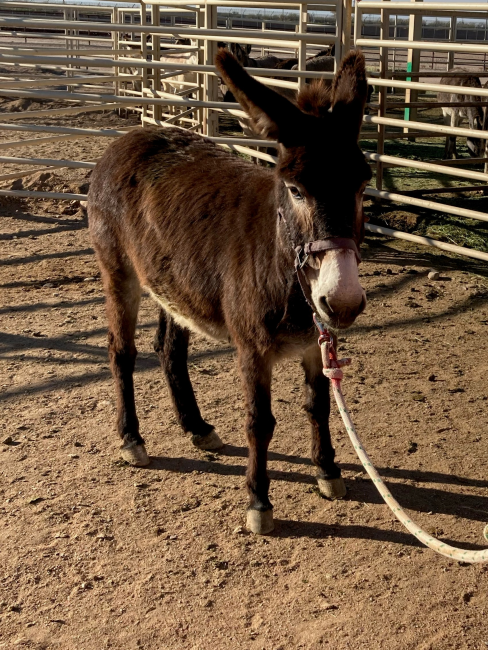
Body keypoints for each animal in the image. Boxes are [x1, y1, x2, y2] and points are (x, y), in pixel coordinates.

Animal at [87, 48, 371, 535]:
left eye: (362, 184)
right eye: (296, 190)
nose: (343, 302)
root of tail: (131, 135)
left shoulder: (315, 344)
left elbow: (318, 406)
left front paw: (328, 472)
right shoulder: (252, 349)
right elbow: (260, 421)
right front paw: (259, 501)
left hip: (172, 285)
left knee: (167, 349)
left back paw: (197, 427)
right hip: (119, 272)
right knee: (120, 351)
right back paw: (131, 439)